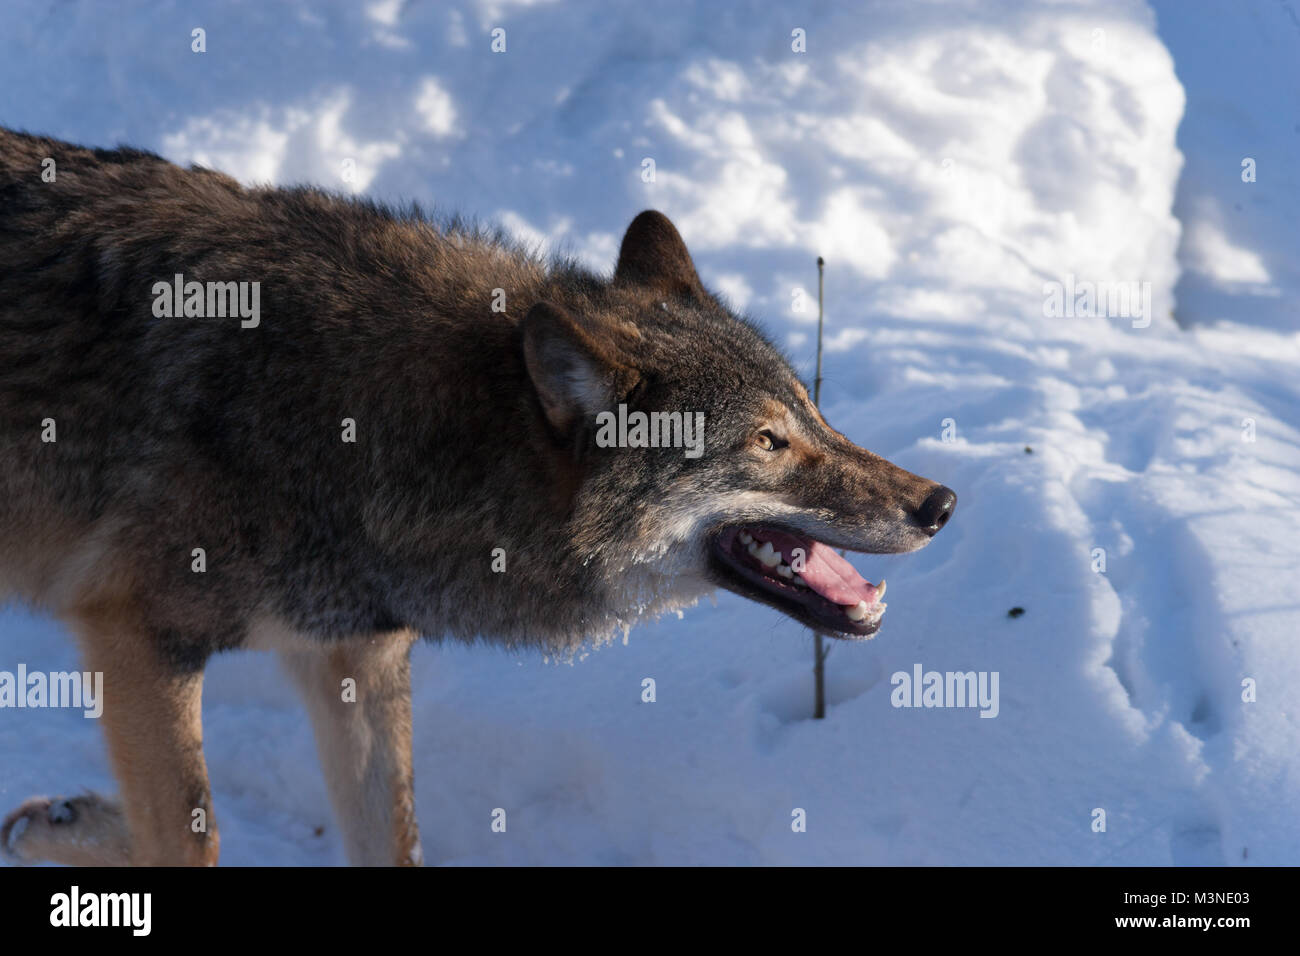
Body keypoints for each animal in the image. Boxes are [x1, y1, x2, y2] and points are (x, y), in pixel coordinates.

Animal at [0, 127, 955, 866]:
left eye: (811, 410)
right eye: (767, 443)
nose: (940, 504)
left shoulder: (353, 654)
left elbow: (389, 843)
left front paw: (67, 824)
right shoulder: (140, 638)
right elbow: (193, 839)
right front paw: (76, 827)